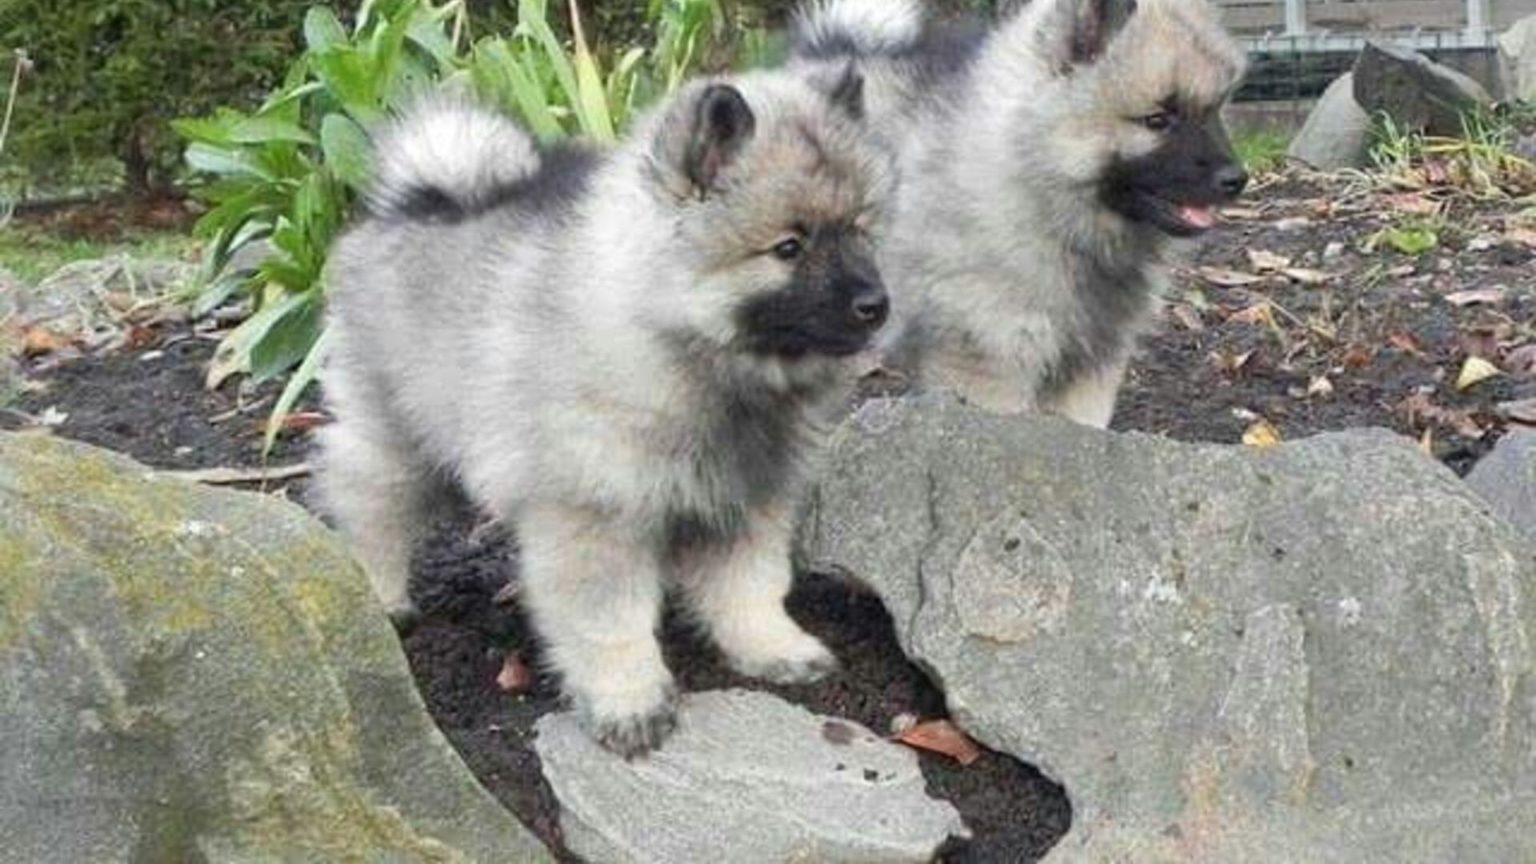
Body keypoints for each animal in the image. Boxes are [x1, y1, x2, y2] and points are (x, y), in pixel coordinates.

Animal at [316, 69, 893, 757]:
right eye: (789, 246)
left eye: (861, 228)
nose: (876, 304)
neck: (688, 350)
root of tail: (417, 200)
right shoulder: (596, 518)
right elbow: (610, 622)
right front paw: (629, 701)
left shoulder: (746, 499)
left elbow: (750, 585)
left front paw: (770, 646)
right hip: (399, 435)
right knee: (368, 505)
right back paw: (378, 592)